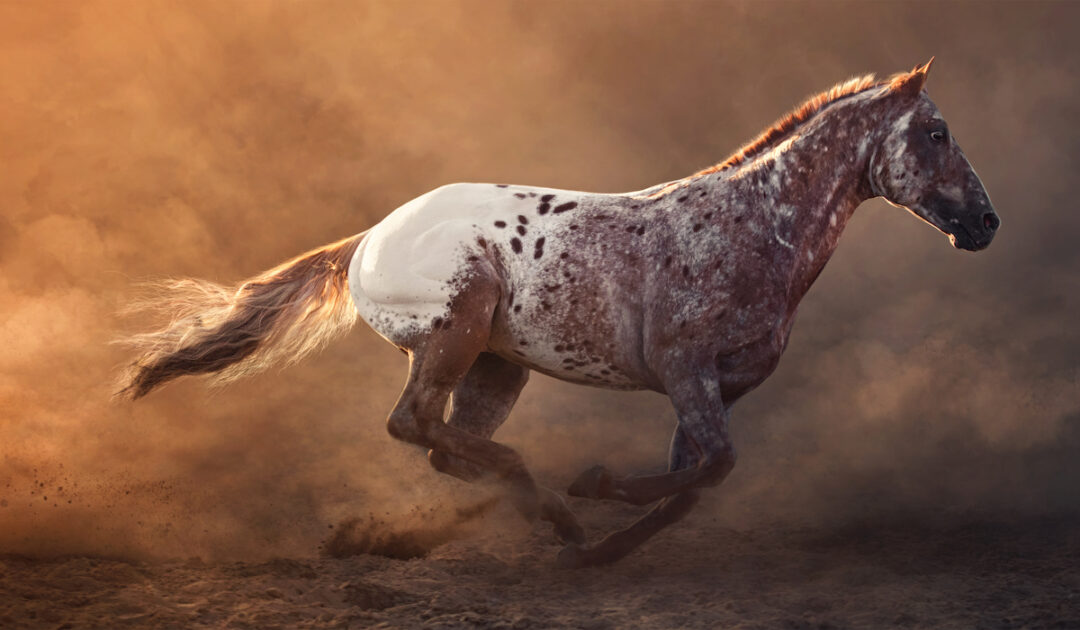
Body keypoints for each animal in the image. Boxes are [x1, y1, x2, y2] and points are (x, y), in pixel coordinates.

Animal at [118, 59, 999, 567]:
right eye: (936, 132)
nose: (986, 223)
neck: (753, 226)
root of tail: (367, 239)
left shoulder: (720, 387)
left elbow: (693, 480)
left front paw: (606, 547)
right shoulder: (685, 368)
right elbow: (711, 466)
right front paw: (597, 489)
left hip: (497, 366)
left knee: (444, 443)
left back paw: (533, 521)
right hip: (459, 327)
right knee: (414, 424)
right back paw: (548, 507)